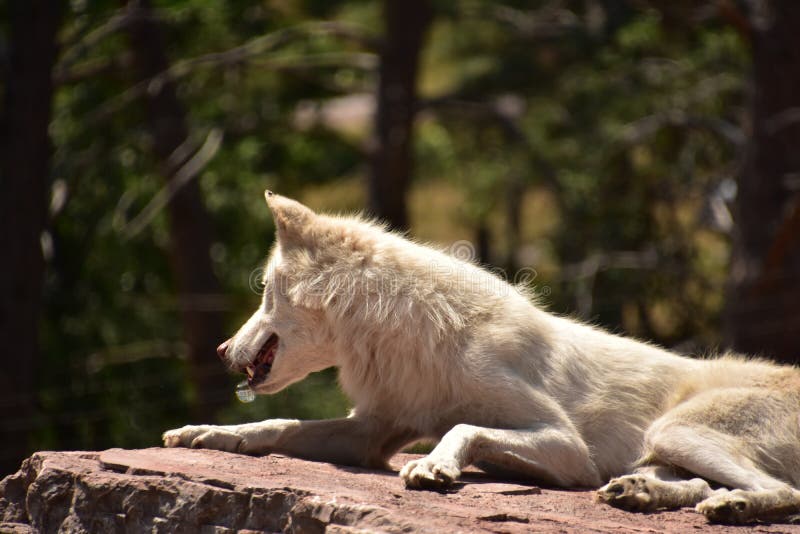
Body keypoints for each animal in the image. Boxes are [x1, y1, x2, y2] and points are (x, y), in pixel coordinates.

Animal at [163, 192, 800, 524]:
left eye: (263, 290)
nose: (220, 349)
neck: (405, 332)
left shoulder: (569, 450)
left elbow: (464, 427)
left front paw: (434, 467)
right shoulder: (373, 431)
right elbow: (272, 423)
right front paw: (204, 434)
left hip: (675, 431)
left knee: (784, 493)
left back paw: (735, 504)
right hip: (663, 448)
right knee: (693, 488)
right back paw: (644, 495)